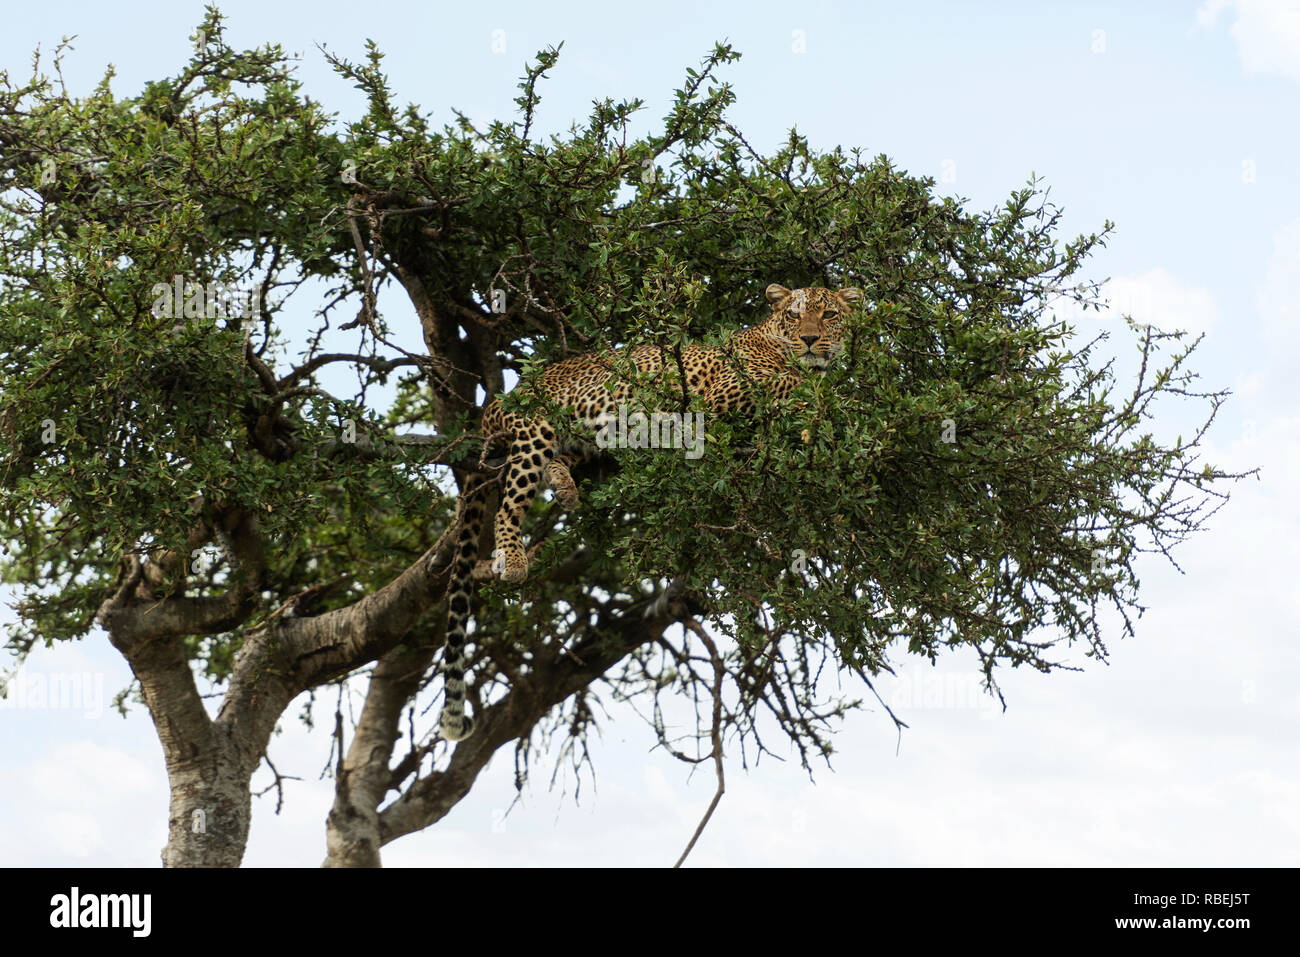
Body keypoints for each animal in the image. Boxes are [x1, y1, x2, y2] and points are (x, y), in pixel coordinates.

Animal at [436, 282, 863, 740]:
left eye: (830, 315)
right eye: (795, 316)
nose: (809, 339)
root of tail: (498, 402)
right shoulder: (726, 396)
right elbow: (790, 389)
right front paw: (824, 407)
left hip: (585, 440)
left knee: (560, 462)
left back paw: (565, 487)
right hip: (536, 428)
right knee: (511, 499)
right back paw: (514, 557)